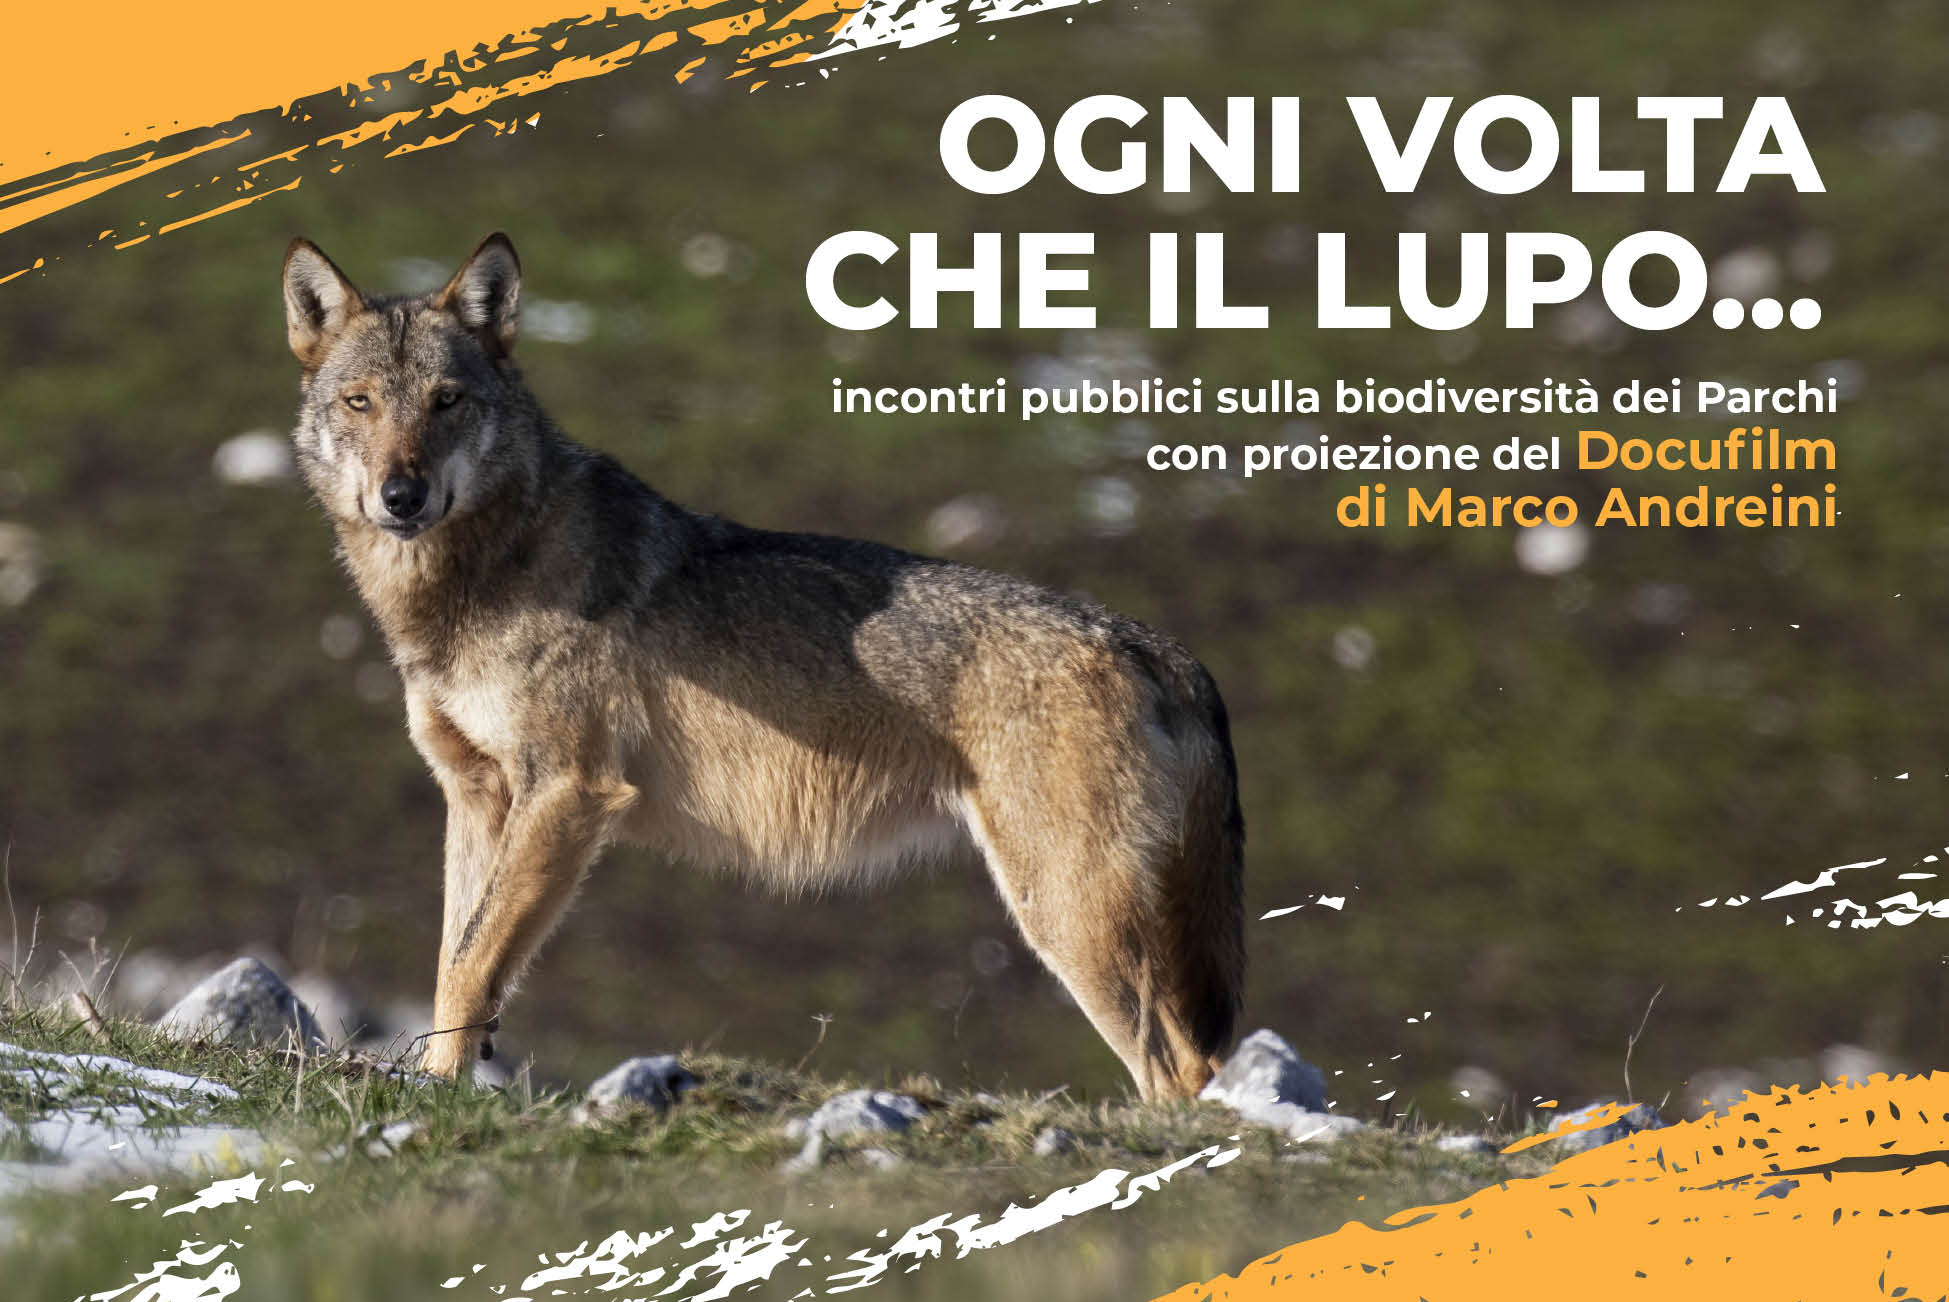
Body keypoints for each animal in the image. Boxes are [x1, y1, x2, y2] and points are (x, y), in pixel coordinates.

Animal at [279, 233, 1246, 1100]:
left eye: (446, 401)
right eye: (361, 402)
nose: (401, 497)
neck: (474, 579)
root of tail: (1153, 644)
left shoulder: (570, 790)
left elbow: (476, 956)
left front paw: (437, 1096)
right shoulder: (478, 794)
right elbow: (457, 963)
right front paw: (443, 1083)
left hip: (1066, 914)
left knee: (1184, 1068)